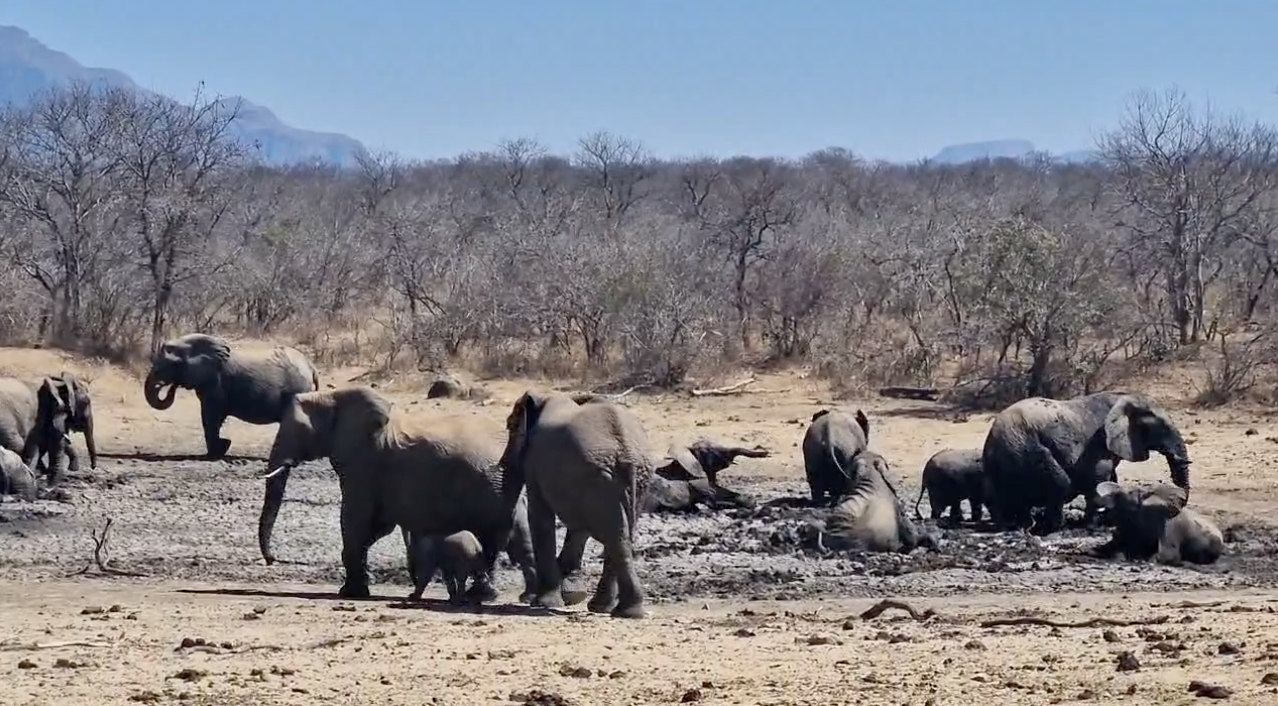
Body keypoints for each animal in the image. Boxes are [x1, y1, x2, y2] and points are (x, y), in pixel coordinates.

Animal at [144, 333, 320, 459]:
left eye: (172, 364)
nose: (169, 385)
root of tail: (311, 366)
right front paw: (222, 447)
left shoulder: (215, 383)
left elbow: (210, 415)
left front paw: (215, 453)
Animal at [258, 386, 536, 601]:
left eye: (297, 431)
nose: (272, 559)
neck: (331, 397)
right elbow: (376, 527)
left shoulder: (364, 463)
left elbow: (354, 521)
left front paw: (350, 593)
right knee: (517, 540)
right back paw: (516, 596)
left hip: (491, 491)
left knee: (492, 540)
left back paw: (482, 595)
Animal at [500, 390, 655, 619]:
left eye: (511, 426)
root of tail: (626, 449)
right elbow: (578, 528)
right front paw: (570, 594)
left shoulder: (536, 465)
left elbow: (540, 517)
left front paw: (544, 603)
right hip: (620, 479)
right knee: (620, 535)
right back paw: (615, 610)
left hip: (599, 477)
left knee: (614, 535)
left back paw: (618, 611)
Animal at [982, 392, 1191, 535]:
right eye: (1161, 428)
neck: (1124, 398)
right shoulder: (1098, 442)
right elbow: (1098, 476)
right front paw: (1094, 526)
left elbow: (1111, 477)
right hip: (1024, 446)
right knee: (1060, 483)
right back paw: (1052, 528)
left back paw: (1021, 526)